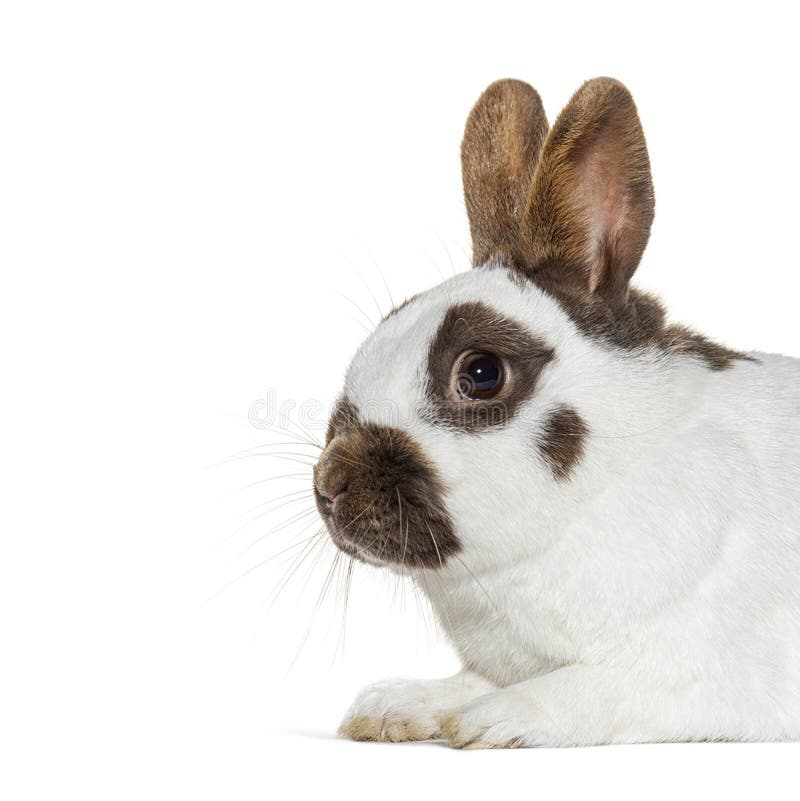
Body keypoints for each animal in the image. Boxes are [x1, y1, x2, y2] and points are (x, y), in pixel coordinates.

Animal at [311, 77, 800, 748]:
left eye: (481, 373)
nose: (329, 484)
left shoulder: (688, 680)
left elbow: (594, 691)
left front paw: (498, 720)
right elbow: (472, 680)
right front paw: (392, 704)